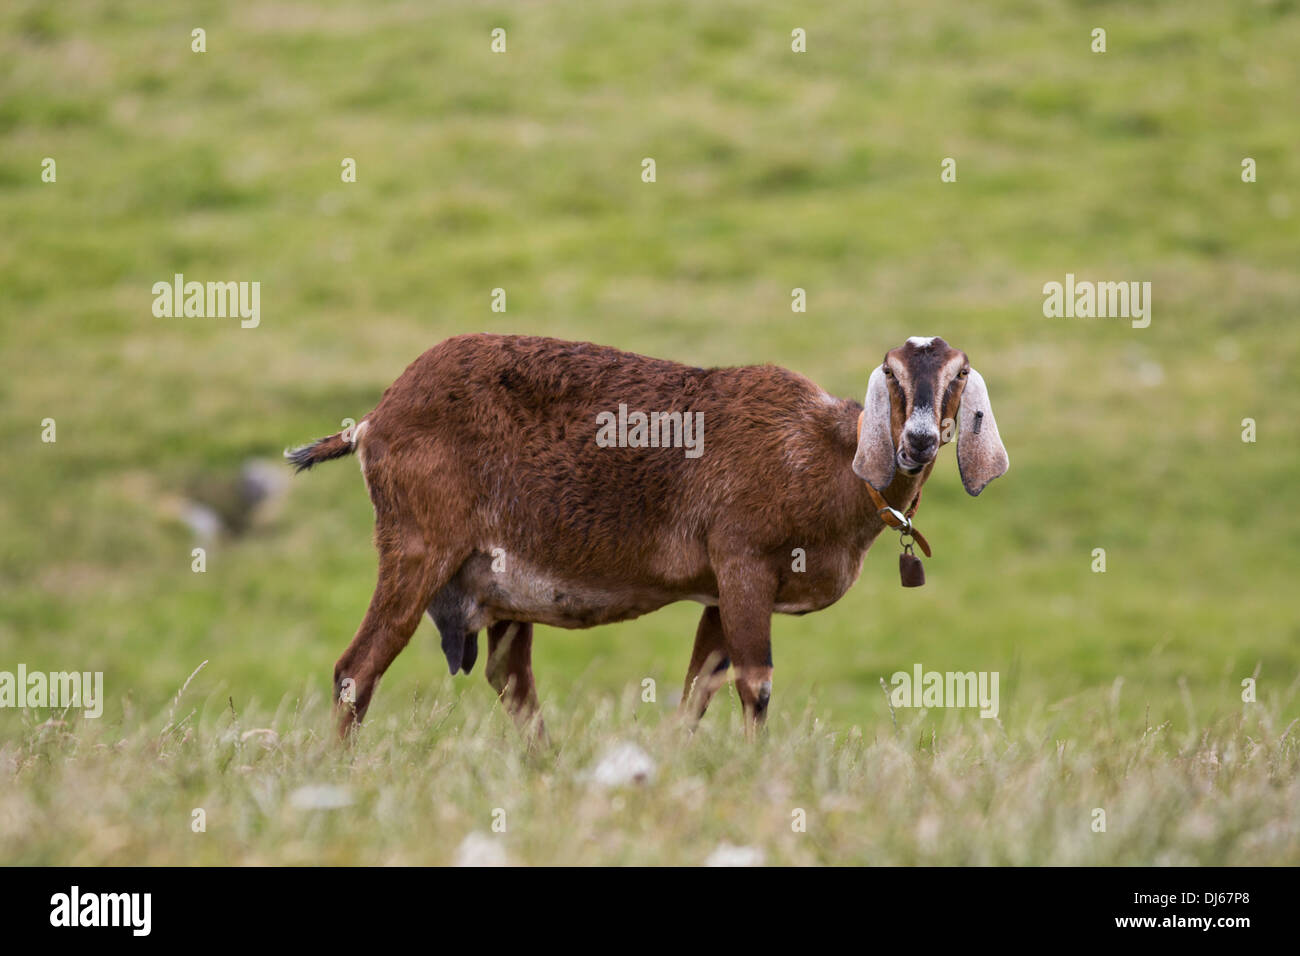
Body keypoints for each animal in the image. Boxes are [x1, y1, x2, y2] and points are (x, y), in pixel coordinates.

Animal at [287, 333, 1009, 739]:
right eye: (891, 373)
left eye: (957, 376)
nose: (918, 440)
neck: (824, 456)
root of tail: (371, 421)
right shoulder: (743, 561)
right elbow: (755, 685)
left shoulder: (719, 590)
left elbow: (697, 692)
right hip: (419, 546)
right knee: (356, 670)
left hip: (500, 579)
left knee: (508, 678)